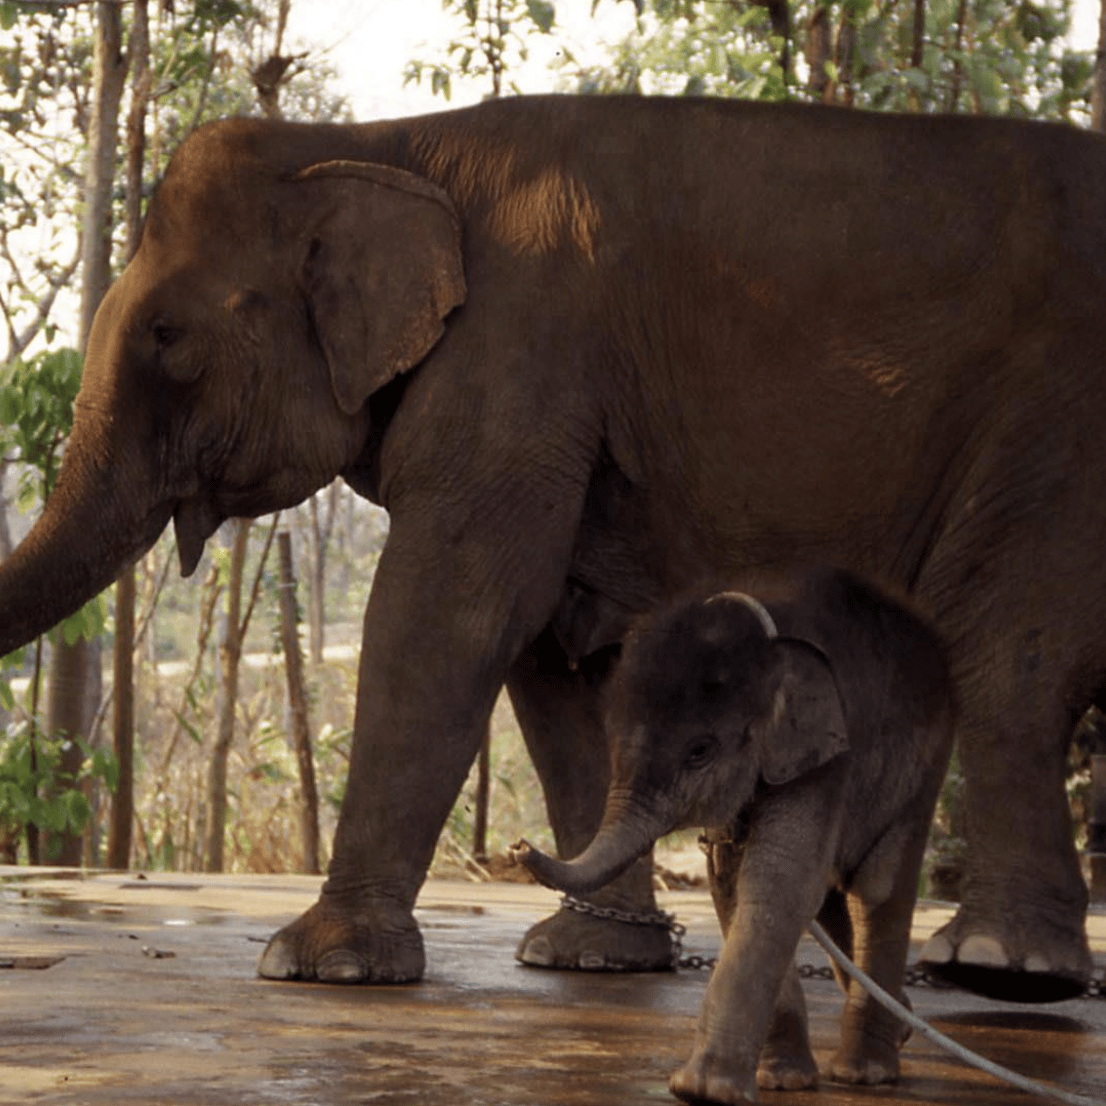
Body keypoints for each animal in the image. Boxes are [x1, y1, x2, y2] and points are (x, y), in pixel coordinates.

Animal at [0, 94, 1101, 998]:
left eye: (169, 339)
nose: (520, 855)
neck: (379, 142)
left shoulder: (520, 353)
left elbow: (455, 607)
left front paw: (320, 966)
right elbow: (555, 653)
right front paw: (593, 954)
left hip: (1051, 429)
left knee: (1007, 655)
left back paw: (1000, 967)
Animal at [514, 568, 956, 1104]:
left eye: (700, 751)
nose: (518, 845)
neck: (765, 641)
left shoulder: (826, 760)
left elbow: (777, 885)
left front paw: (706, 1091)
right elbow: (732, 885)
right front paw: (779, 1080)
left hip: (924, 768)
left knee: (875, 890)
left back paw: (865, 1073)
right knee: (836, 899)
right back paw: (901, 1026)